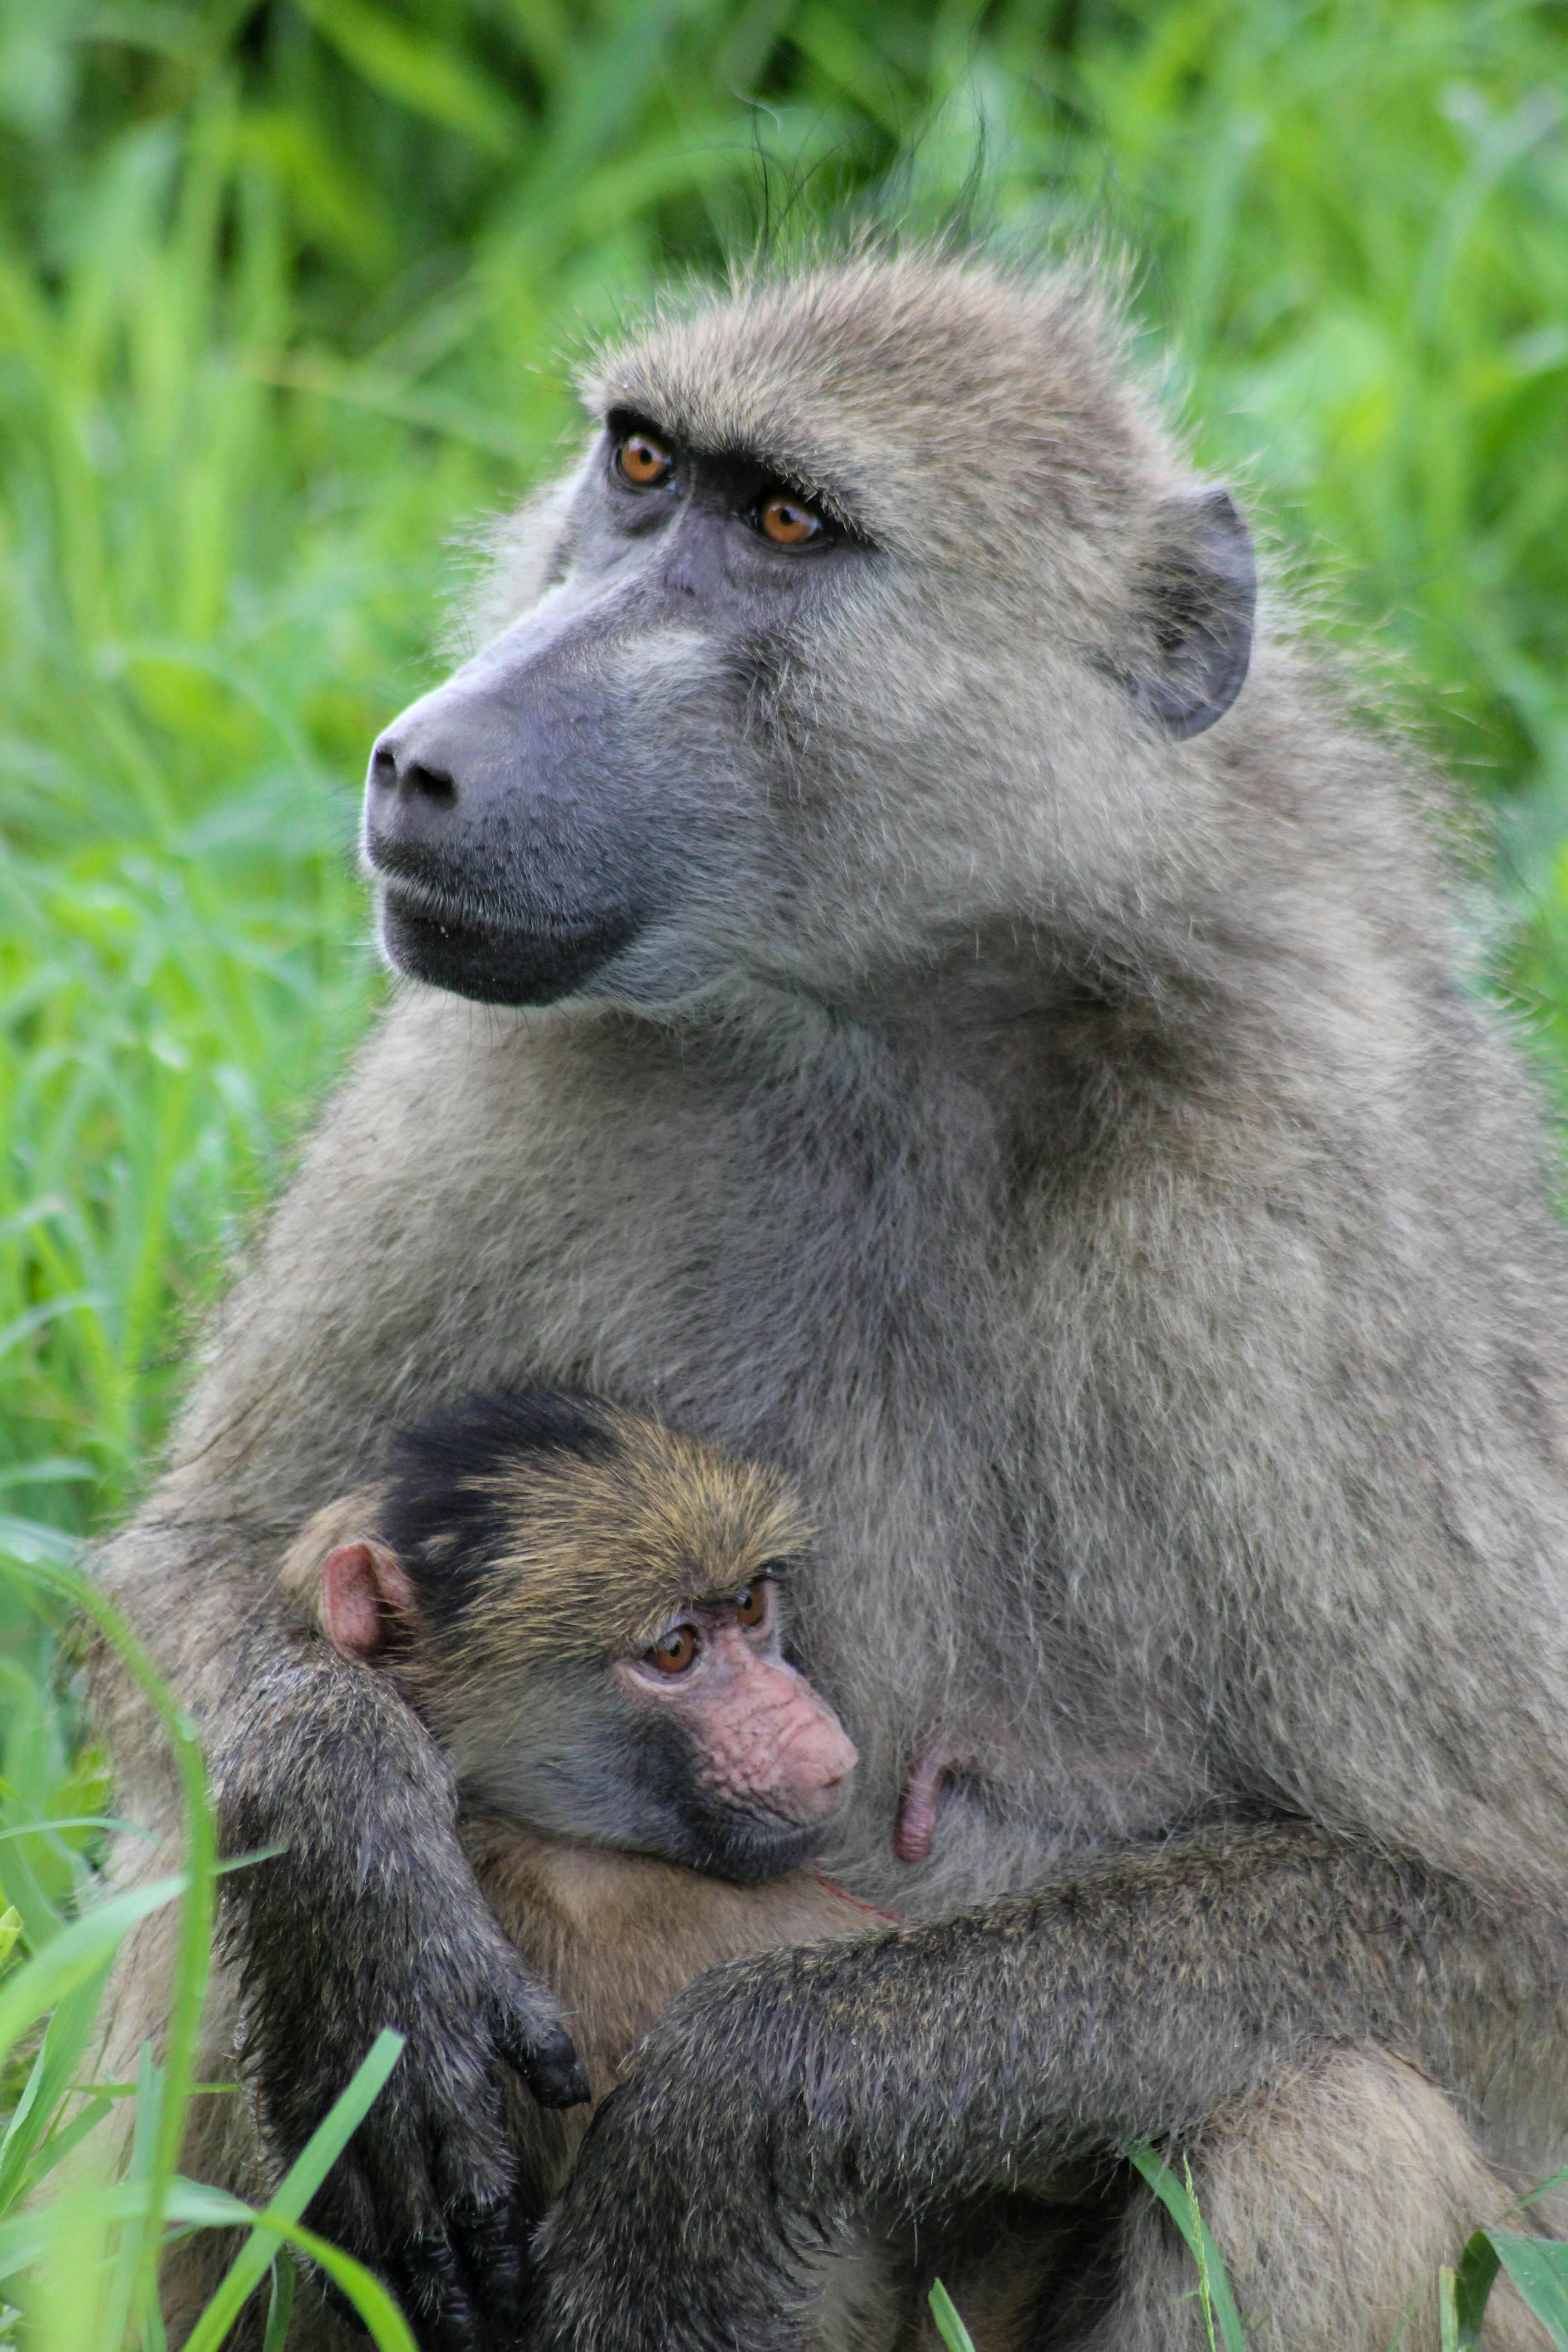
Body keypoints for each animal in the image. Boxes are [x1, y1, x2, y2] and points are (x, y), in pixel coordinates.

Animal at [88, 244, 1568, 2352]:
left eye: (791, 525)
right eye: (640, 467)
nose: (422, 760)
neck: (894, 1029)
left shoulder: (1304, 1200)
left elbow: (1489, 1904)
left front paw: (726, 2115)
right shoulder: (489, 1062)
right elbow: (196, 1586)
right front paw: (371, 1886)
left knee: (1327, 2123)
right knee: (215, 1914)